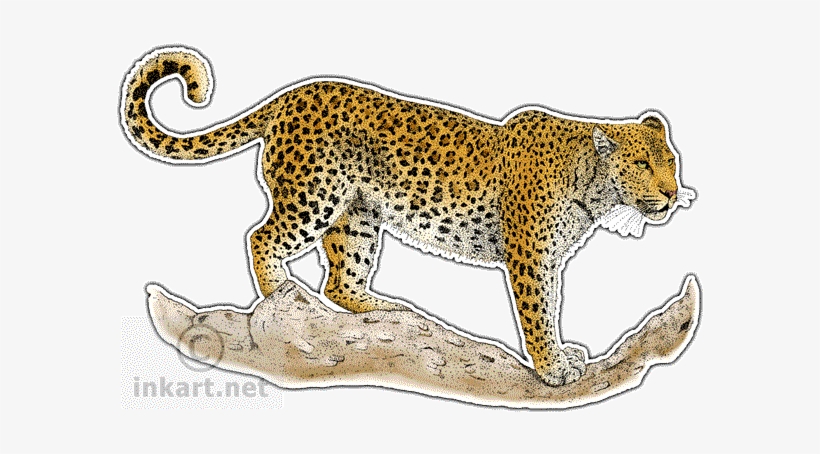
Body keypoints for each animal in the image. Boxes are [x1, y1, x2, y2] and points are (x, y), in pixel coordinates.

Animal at [120, 46, 694, 386]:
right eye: (643, 165)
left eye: (671, 161)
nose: (671, 195)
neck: (592, 188)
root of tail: (288, 96)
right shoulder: (530, 257)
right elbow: (536, 313)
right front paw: (553, 368)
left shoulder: (550, 259)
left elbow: (552, 307)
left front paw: (563, 355)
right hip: (312, 197)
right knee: (262, 238)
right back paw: (280, 296)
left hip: (356, 217)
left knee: (341, 279)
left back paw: (384, 308)